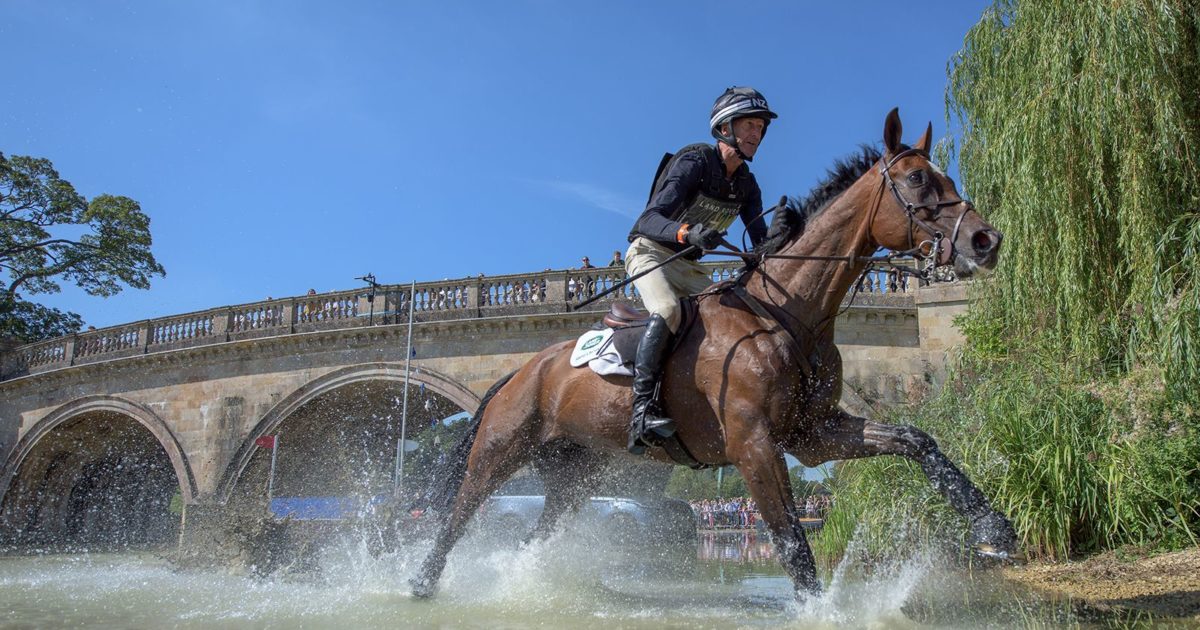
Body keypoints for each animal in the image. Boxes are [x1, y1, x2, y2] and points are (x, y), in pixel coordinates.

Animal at [410, 108, 1017, 598]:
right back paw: (421, 584)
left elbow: (918, 441)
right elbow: (792, 543)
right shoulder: (754, 445)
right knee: (458, 514)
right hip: (499, 450)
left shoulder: (813, 434)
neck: (786, 314)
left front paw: (994, 530)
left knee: (536, 535)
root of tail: (524, 368)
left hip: (571, 475)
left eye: (946, 177)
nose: (986, 241)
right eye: (917, 179)